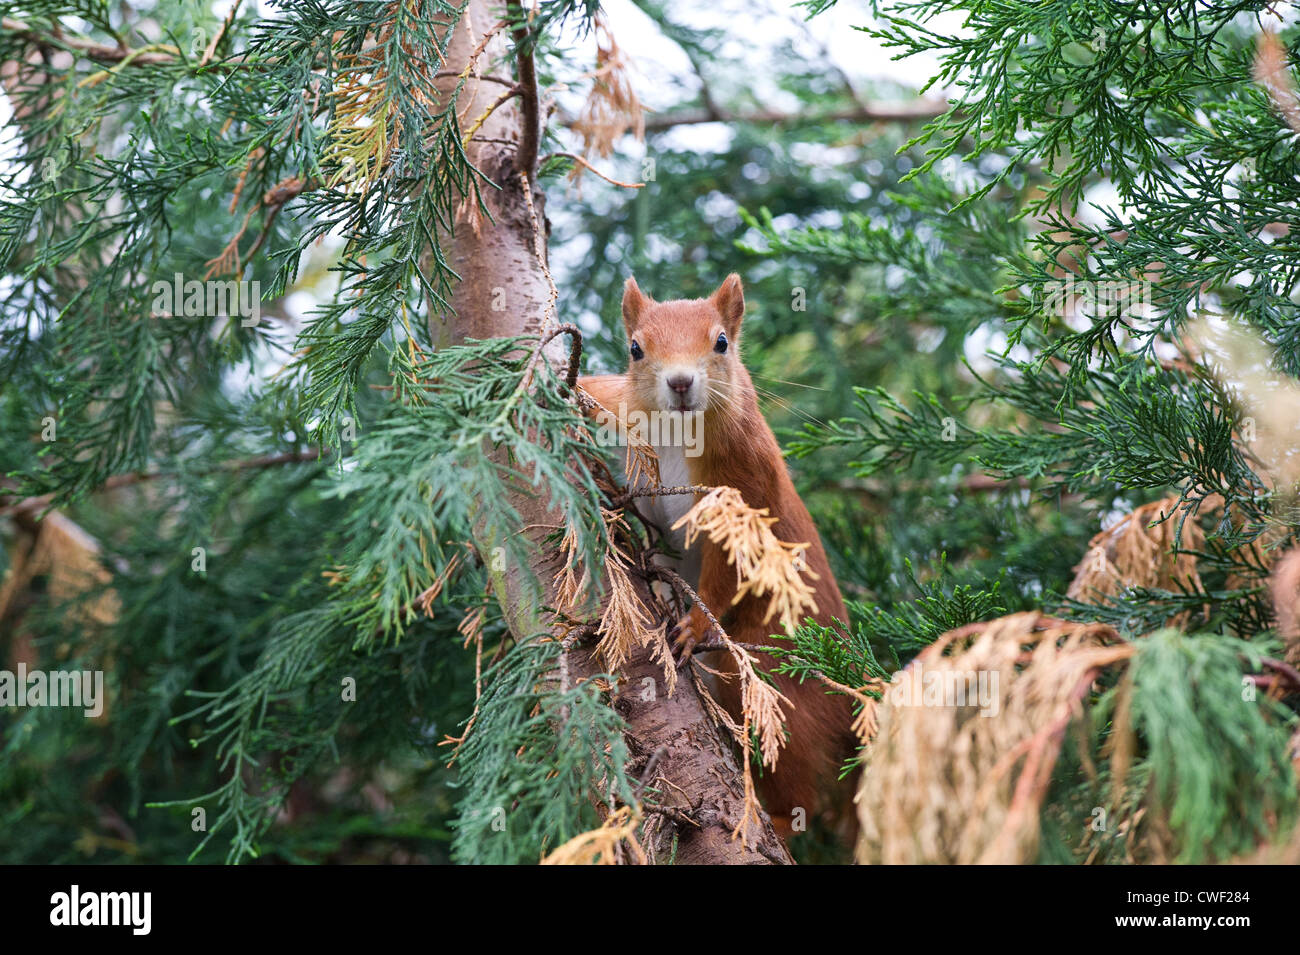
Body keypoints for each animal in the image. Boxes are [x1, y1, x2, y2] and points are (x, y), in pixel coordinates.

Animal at [578, 274, 856, 841]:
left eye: (722, 342)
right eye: (635, 349)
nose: (681, 382)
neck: (679, 433)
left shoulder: (745, 485)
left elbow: (730, 570)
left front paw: (695, 624)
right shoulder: (629, 416)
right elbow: (608, 397)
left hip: (770, 681)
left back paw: (772, 819)